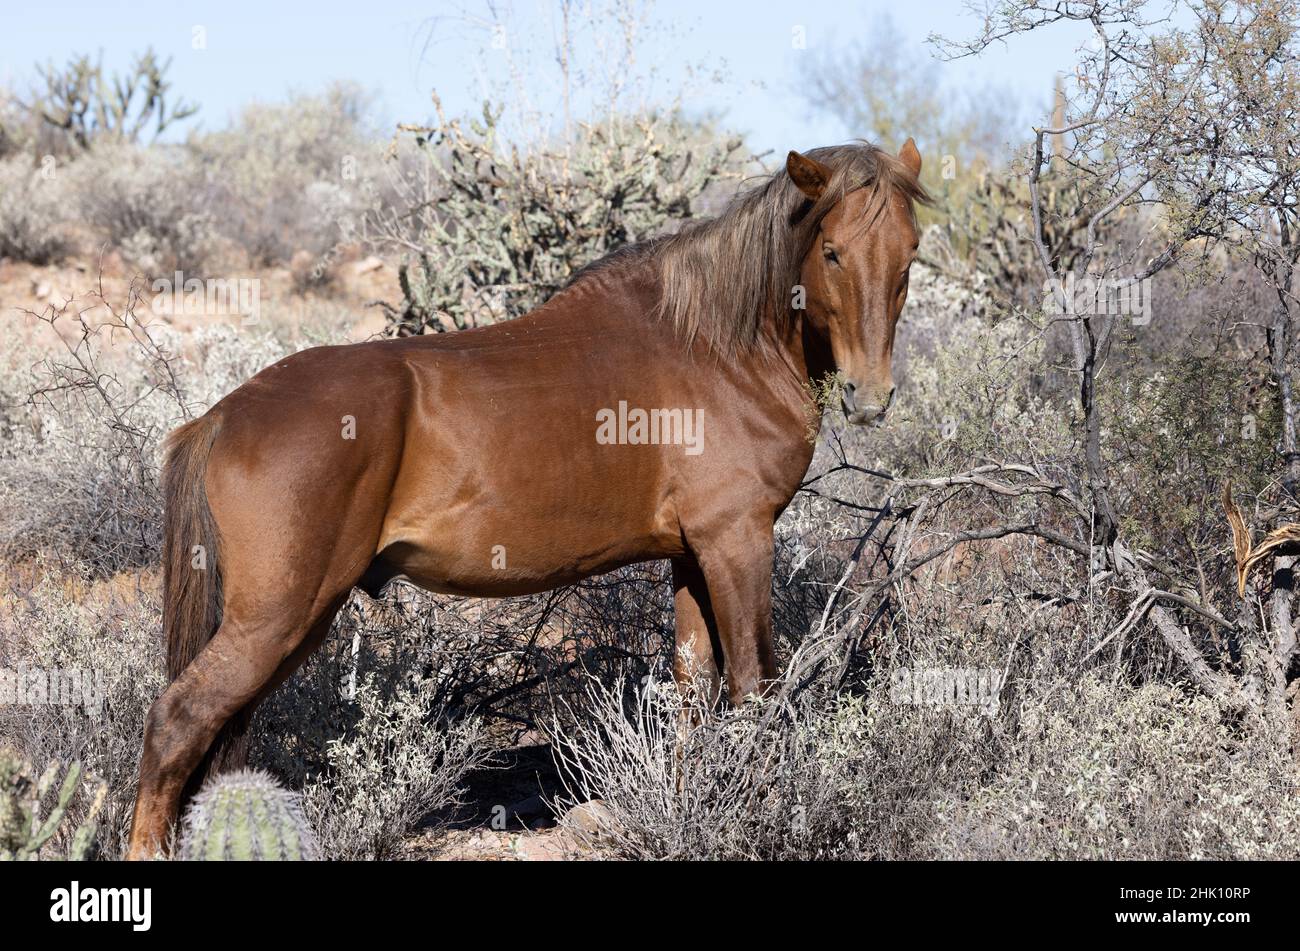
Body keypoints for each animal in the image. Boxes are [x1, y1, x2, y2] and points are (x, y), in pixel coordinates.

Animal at [127, 139, 927, 859]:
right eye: (831, 252)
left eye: (910, 255)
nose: (871, 397)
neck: (718, 345)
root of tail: (222, 416)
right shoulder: (738, 541)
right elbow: (755, 686)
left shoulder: (694, 556)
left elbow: (694, 694)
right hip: (280, 613)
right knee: (176, 721)